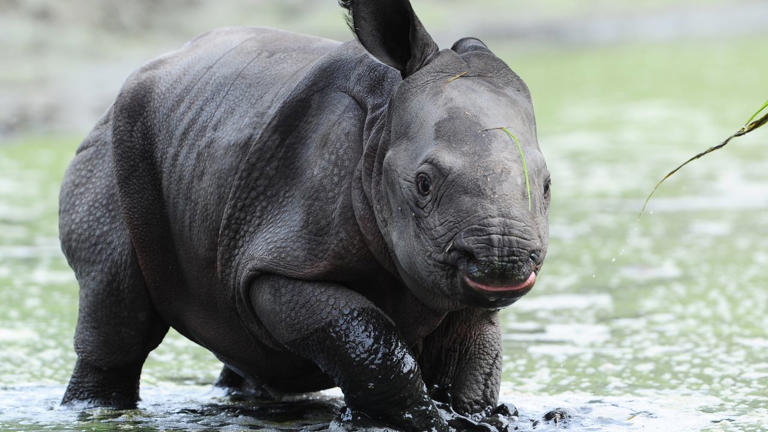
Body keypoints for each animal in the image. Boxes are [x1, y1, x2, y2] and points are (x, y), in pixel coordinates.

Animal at [59, 0, 550, 430]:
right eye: (424, 183)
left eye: (546, 186)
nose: (504, 258)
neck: (381, 124)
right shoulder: (280, 265)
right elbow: (363, 336)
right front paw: (417, 420)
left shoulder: (462, 288)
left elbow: (472, 366)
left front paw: (472, 419)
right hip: (115, 148)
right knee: (117, 310)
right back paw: (95, 411)